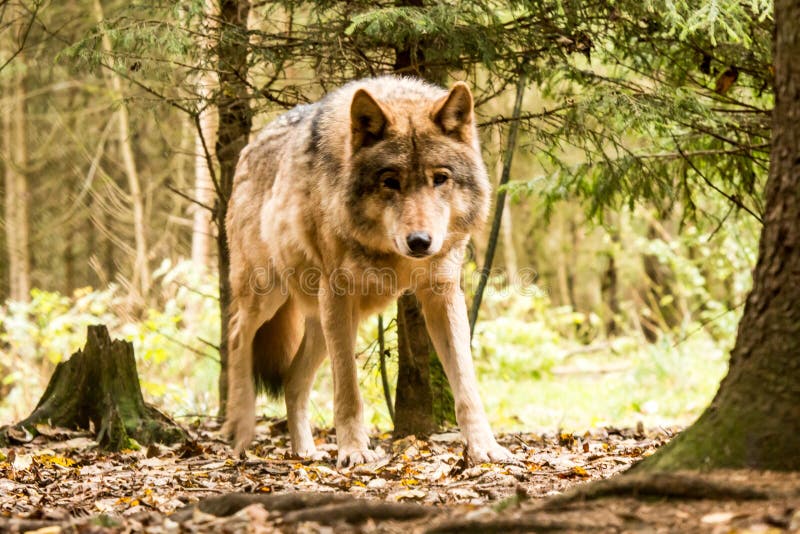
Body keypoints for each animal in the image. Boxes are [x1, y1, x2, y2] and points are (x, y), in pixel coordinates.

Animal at [222, 75, 512, 467]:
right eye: (390, 181)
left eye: (440, 178)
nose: (419, 241)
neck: (392, 255)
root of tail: (248, 148)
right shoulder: (338, 294)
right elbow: (349, 391)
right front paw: (354, 451)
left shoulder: (442, 294)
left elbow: (467, 385)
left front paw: (484, 447)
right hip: (269, 296)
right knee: (238, 336)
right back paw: (240, 431)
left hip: (321, 320)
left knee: (292, 380)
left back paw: (304, 451)